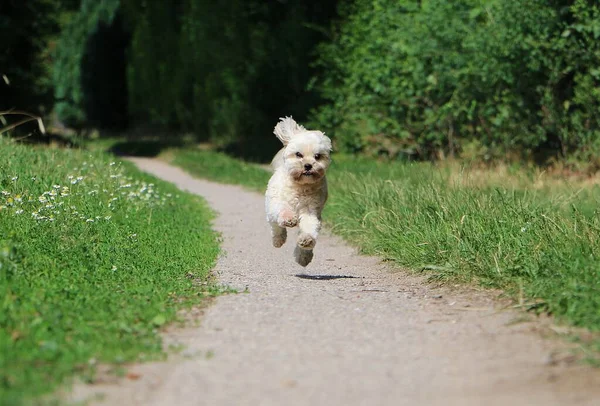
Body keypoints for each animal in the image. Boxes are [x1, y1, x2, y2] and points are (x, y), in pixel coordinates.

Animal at [264, 116, 332, 266]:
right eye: (298, 154)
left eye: (317, 156)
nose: (308, 165)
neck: (300, 186)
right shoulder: (277, 200)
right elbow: (283, 210)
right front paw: (289, 219)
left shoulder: (311, 211)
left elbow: (309, 227)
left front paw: (306, 241)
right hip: (271, 208)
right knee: (275, 226)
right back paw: (278, 239)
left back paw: (304, 257)